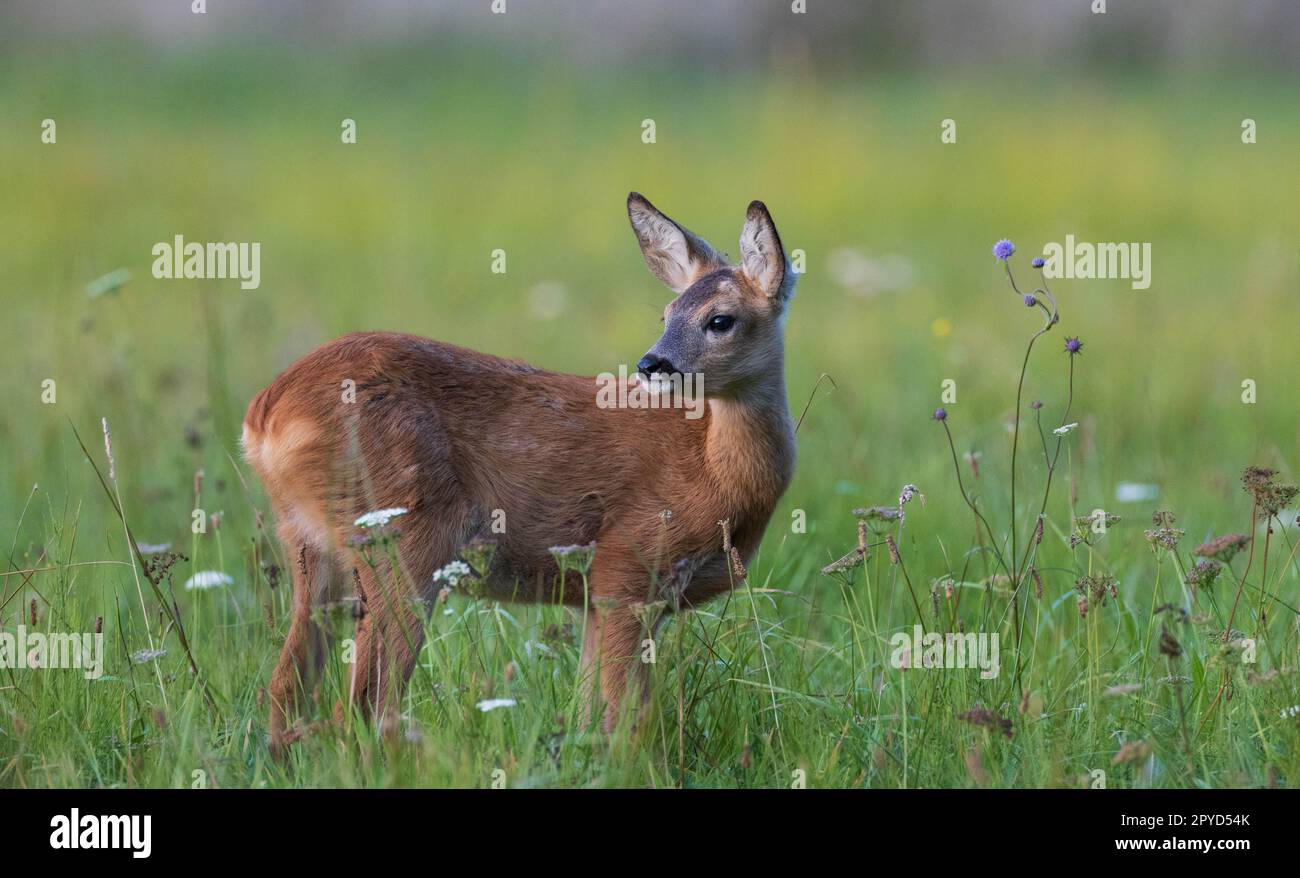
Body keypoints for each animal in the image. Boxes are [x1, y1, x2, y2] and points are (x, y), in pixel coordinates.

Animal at [242, 193, 798, 756]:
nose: (651, 364)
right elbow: (629, 720)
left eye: (720, 320)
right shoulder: (626, 563)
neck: (715, 473)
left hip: (310, 543)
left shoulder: (595, 596)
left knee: (287, 685)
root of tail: (265, 415)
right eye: (667, 313)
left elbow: (587, 711)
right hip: (401, 535)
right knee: (363, 703)